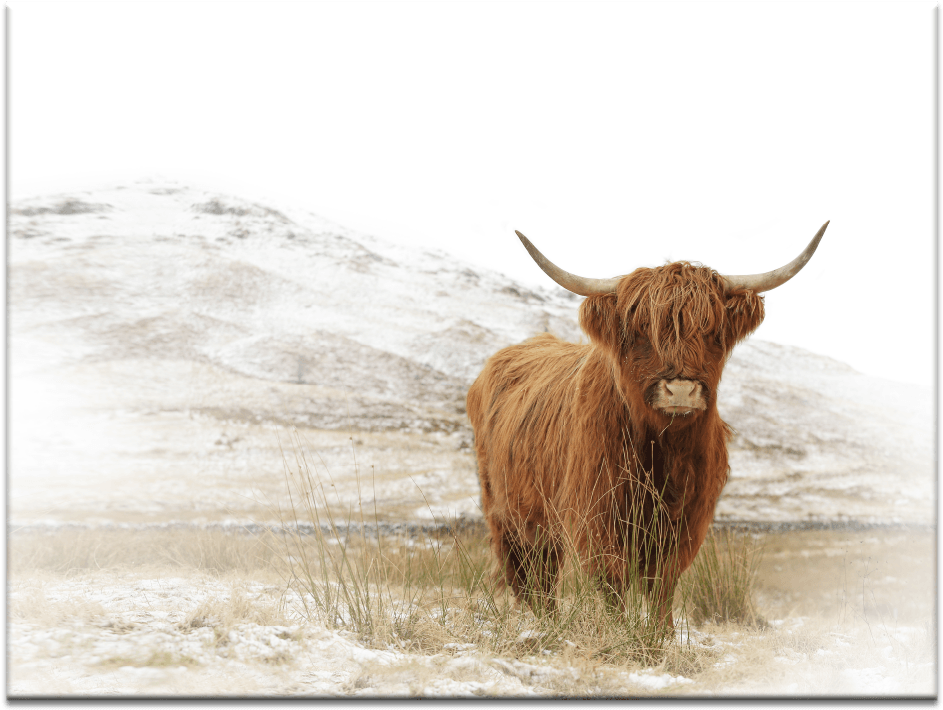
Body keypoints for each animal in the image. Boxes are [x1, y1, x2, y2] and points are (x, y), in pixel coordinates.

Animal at [466, 222, 829, 629]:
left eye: (711, 331)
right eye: (641, 332)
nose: (681, 389)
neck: (663, 450)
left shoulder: (686, 520)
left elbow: (661, 583)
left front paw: (661, 634)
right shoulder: (599, 514)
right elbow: (612, 581)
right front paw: (619, 632)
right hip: (506, 513)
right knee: (527, 575)